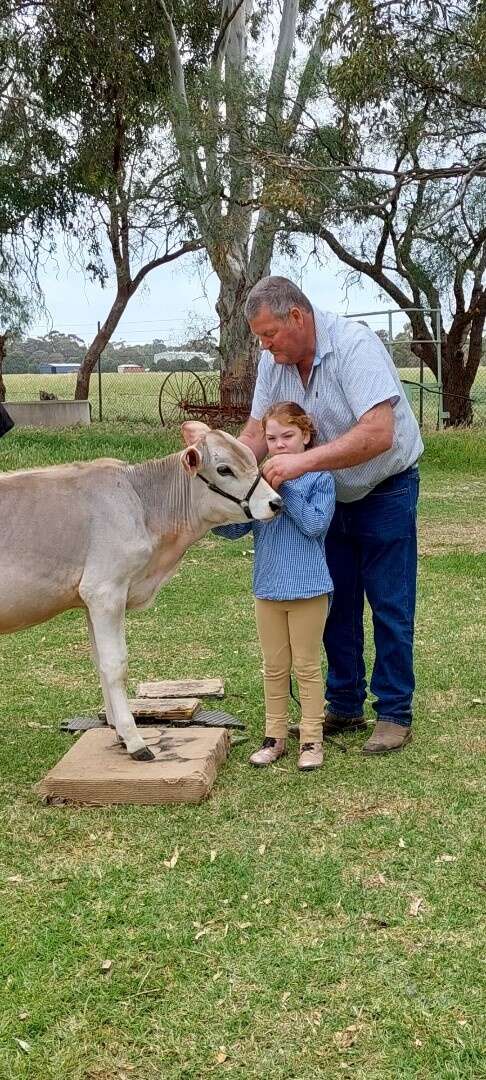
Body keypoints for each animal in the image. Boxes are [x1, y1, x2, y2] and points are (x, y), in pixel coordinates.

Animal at [0, 421, 281, 760]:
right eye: (224, 469)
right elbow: (115, 665)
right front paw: (134, 740)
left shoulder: (91, 600)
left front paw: (119, 734)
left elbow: (100, 662)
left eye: (252, 458)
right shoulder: (105, 591)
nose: (276, 502)